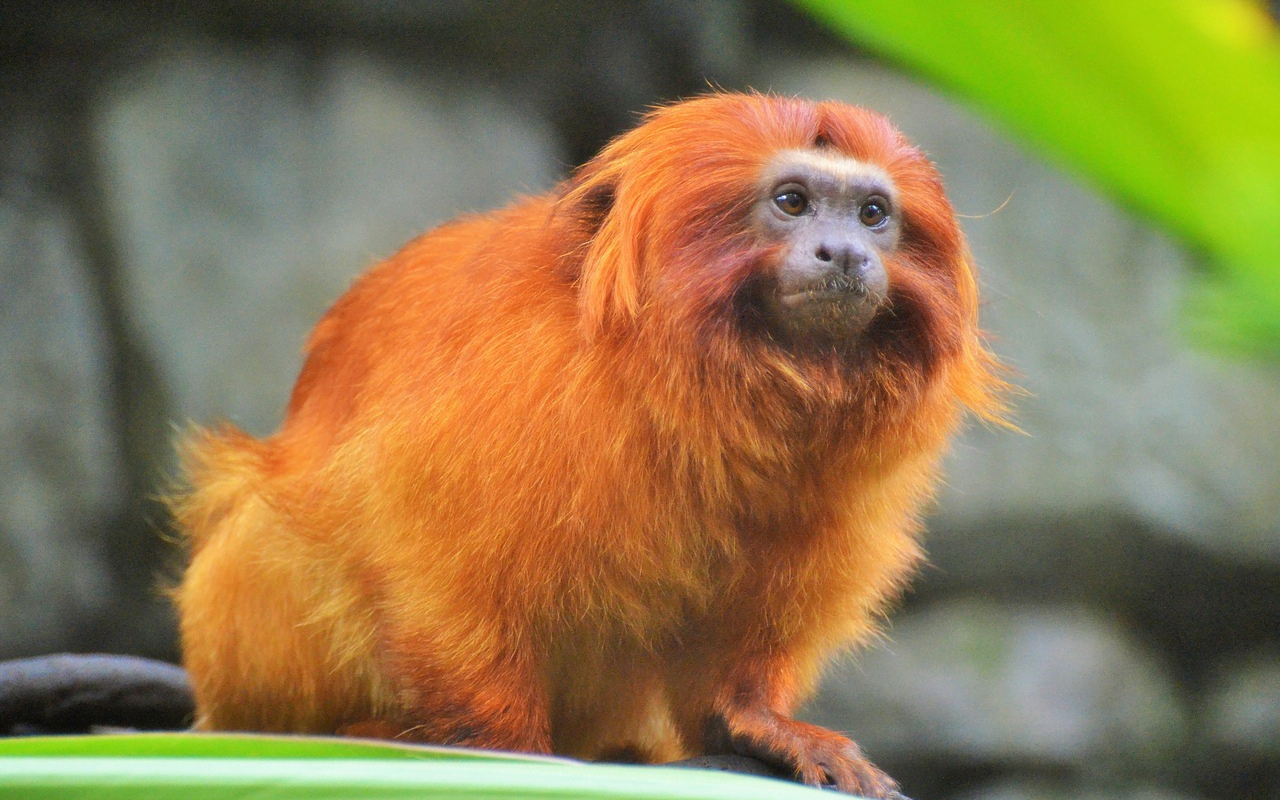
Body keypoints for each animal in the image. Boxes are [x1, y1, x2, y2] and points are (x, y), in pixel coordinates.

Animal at [169, 92, 1007, 797]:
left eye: (872, 213)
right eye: (792, 202)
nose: (846, 254)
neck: (703, 396)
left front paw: (752, 719)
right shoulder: (503, 398)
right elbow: (438, 572)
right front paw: (503, 750)